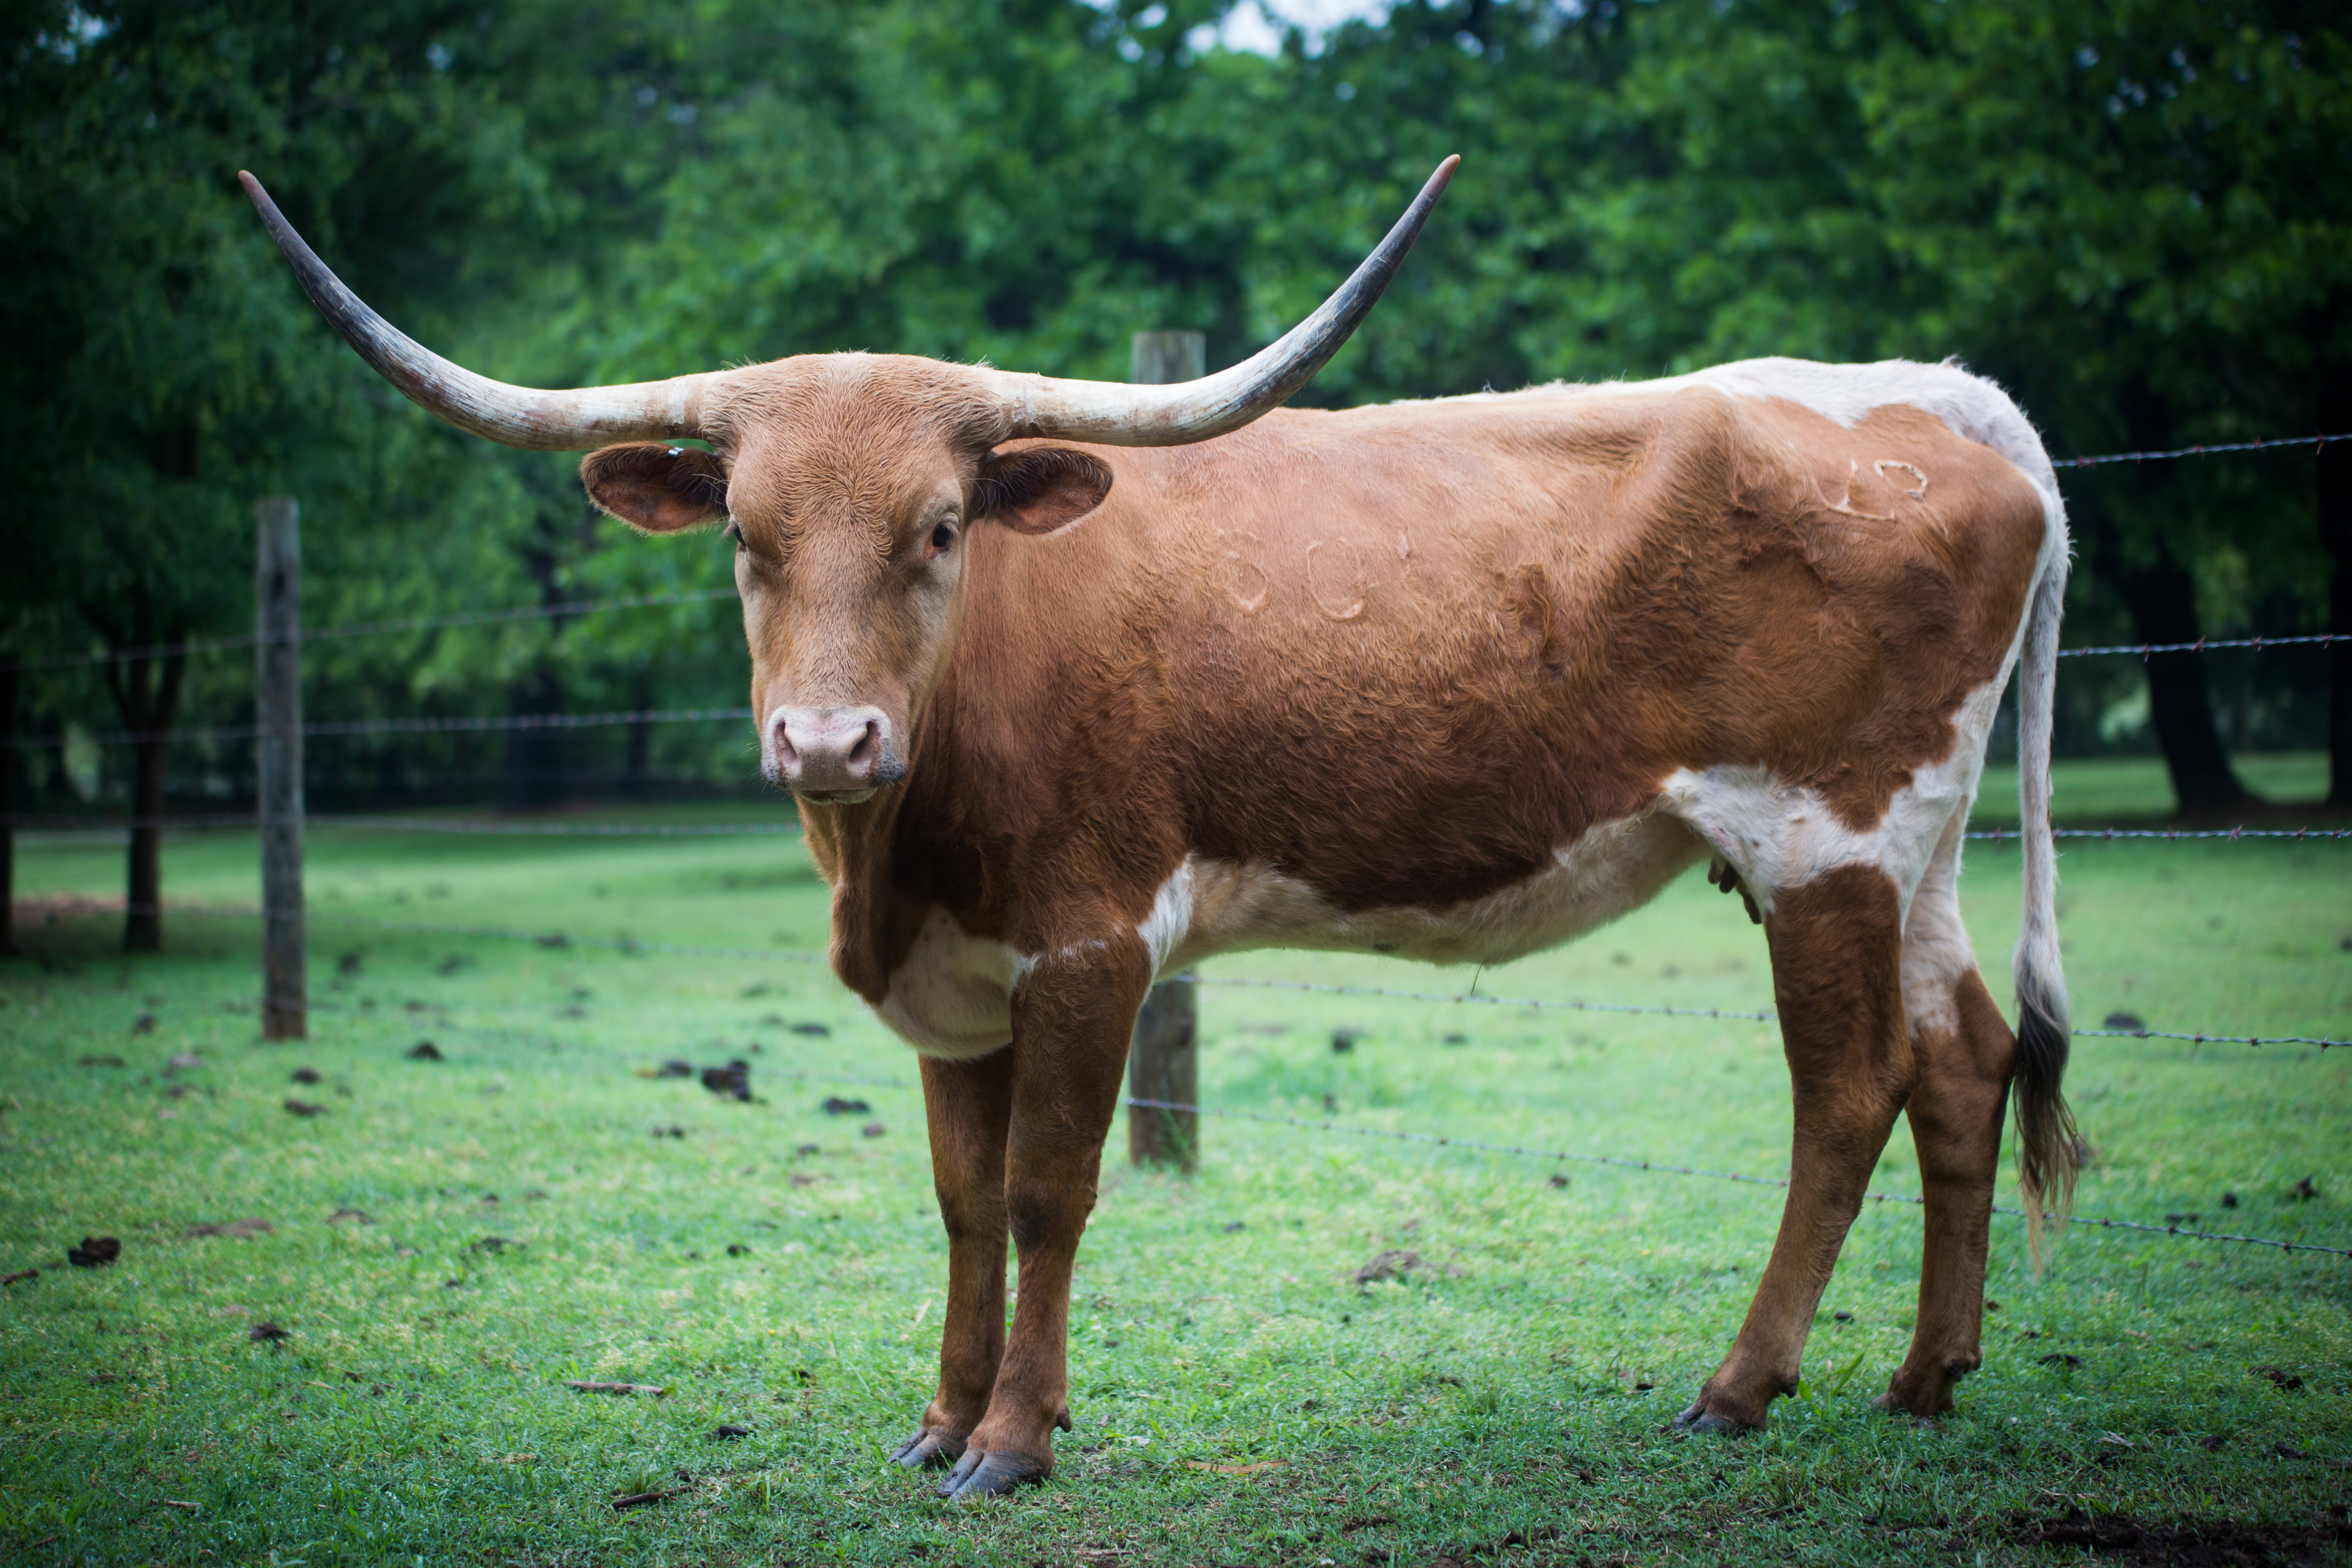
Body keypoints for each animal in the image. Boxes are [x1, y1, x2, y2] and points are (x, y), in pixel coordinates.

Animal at [242, 157, 2077, 1500]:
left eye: (938, 525)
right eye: (746, 536)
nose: (827, 740)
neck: (901, 844)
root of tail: (1924, 402)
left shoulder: (1090, 942)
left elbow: (1048, 1192)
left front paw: (1008, 1444)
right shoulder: (961, 975)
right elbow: (959, 1197)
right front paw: (936, 1419)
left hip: (1822, 841)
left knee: (1848, 1095)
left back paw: (1739, 1387)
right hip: (1915, 852)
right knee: (1966, 1064)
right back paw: (1924, 1380)